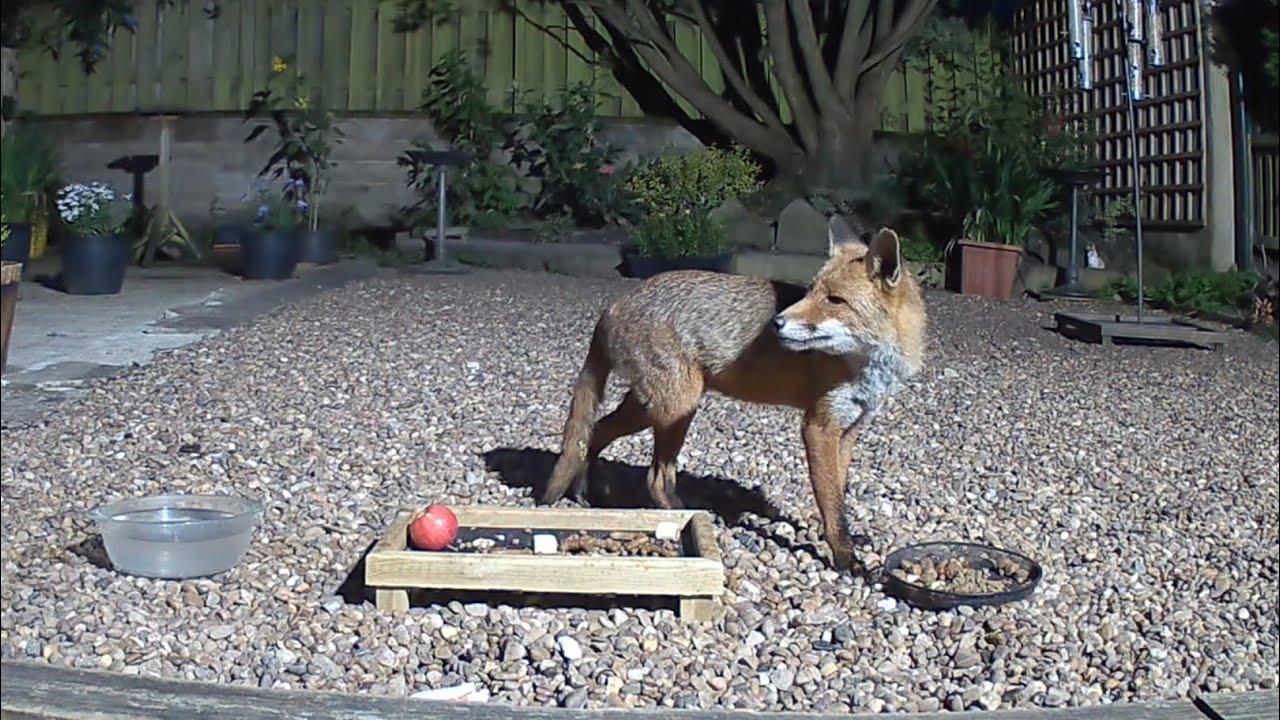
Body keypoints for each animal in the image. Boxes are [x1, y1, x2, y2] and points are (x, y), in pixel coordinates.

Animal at [539, 214, 927, 574]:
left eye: (835, 300)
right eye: (810, 291)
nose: (777, 323)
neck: (868, 367)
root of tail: (615, 304)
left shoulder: (848, 428)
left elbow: (837, 493)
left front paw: (841, 540)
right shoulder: (818, 427)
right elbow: (831, 503)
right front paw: (845, 557)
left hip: (651, 406)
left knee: (593, 432)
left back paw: (585, 492)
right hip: (676, 407)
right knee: (655, 478)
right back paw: (688, 517)